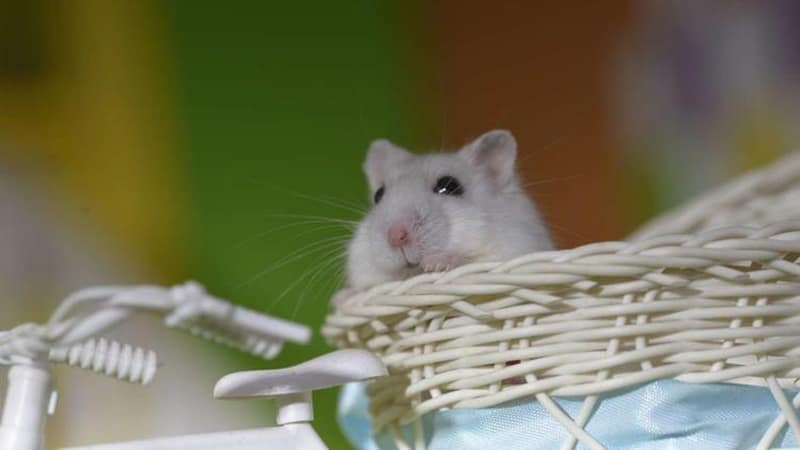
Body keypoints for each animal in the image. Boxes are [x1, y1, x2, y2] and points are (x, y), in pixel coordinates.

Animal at [341, 129, 554, 296]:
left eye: (450, 186)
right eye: (378, 195)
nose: (396, 236)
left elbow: (469, 261)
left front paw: (436, 264)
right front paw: (343, 298)